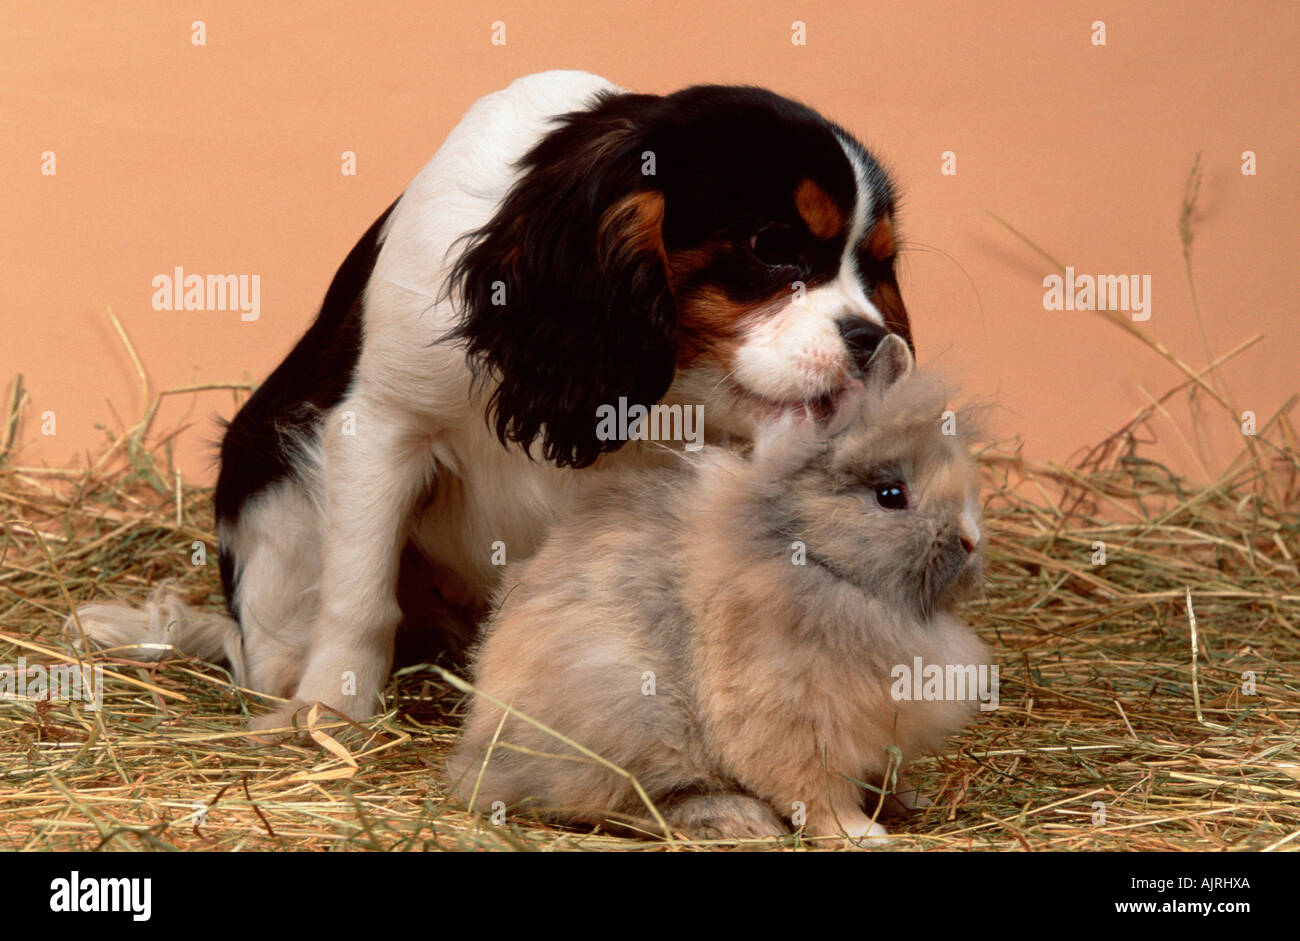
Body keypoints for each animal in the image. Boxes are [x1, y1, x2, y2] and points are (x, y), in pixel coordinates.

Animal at [447, 334, 994, 843]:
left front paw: (908, 800)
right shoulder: (797, 720)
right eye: (891, 495)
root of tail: (478, 756)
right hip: (627, 712)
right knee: (611, 801)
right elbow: (816, 793)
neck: (819, 563)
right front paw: (861, 834)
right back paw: (737, 820)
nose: (970, 542)